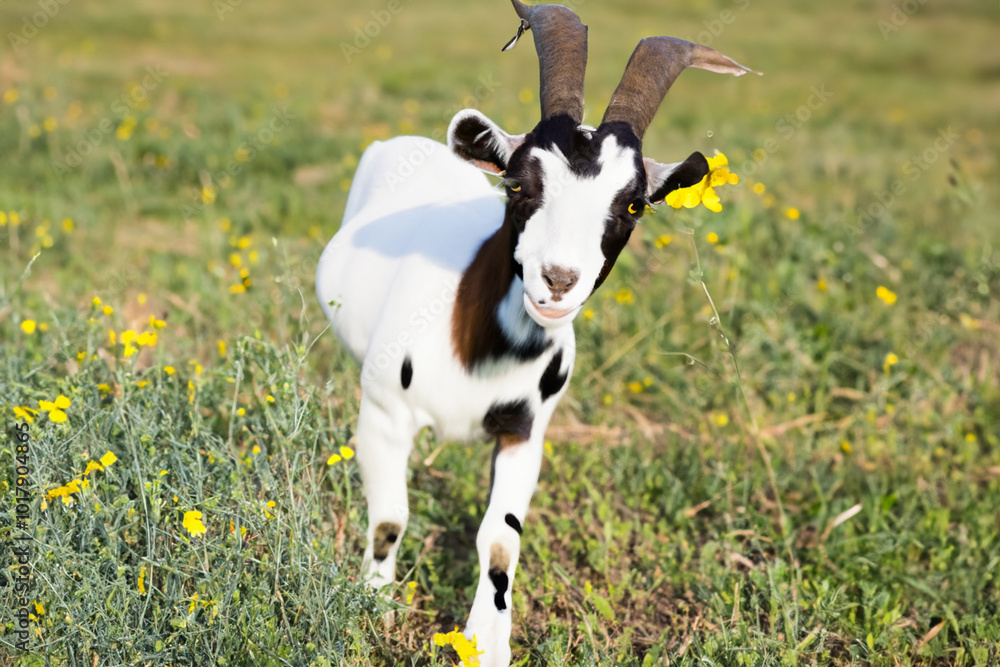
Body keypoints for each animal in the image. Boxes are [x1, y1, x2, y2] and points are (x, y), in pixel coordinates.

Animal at [316, 2, 756, 664]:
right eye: (519, 184)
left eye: (633, 205)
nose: (558, 280)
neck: (474, 348)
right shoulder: (385, 413)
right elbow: (390, 517)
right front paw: (375, 607)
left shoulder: (526, 432)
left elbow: (499, 539)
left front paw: (486, 642)